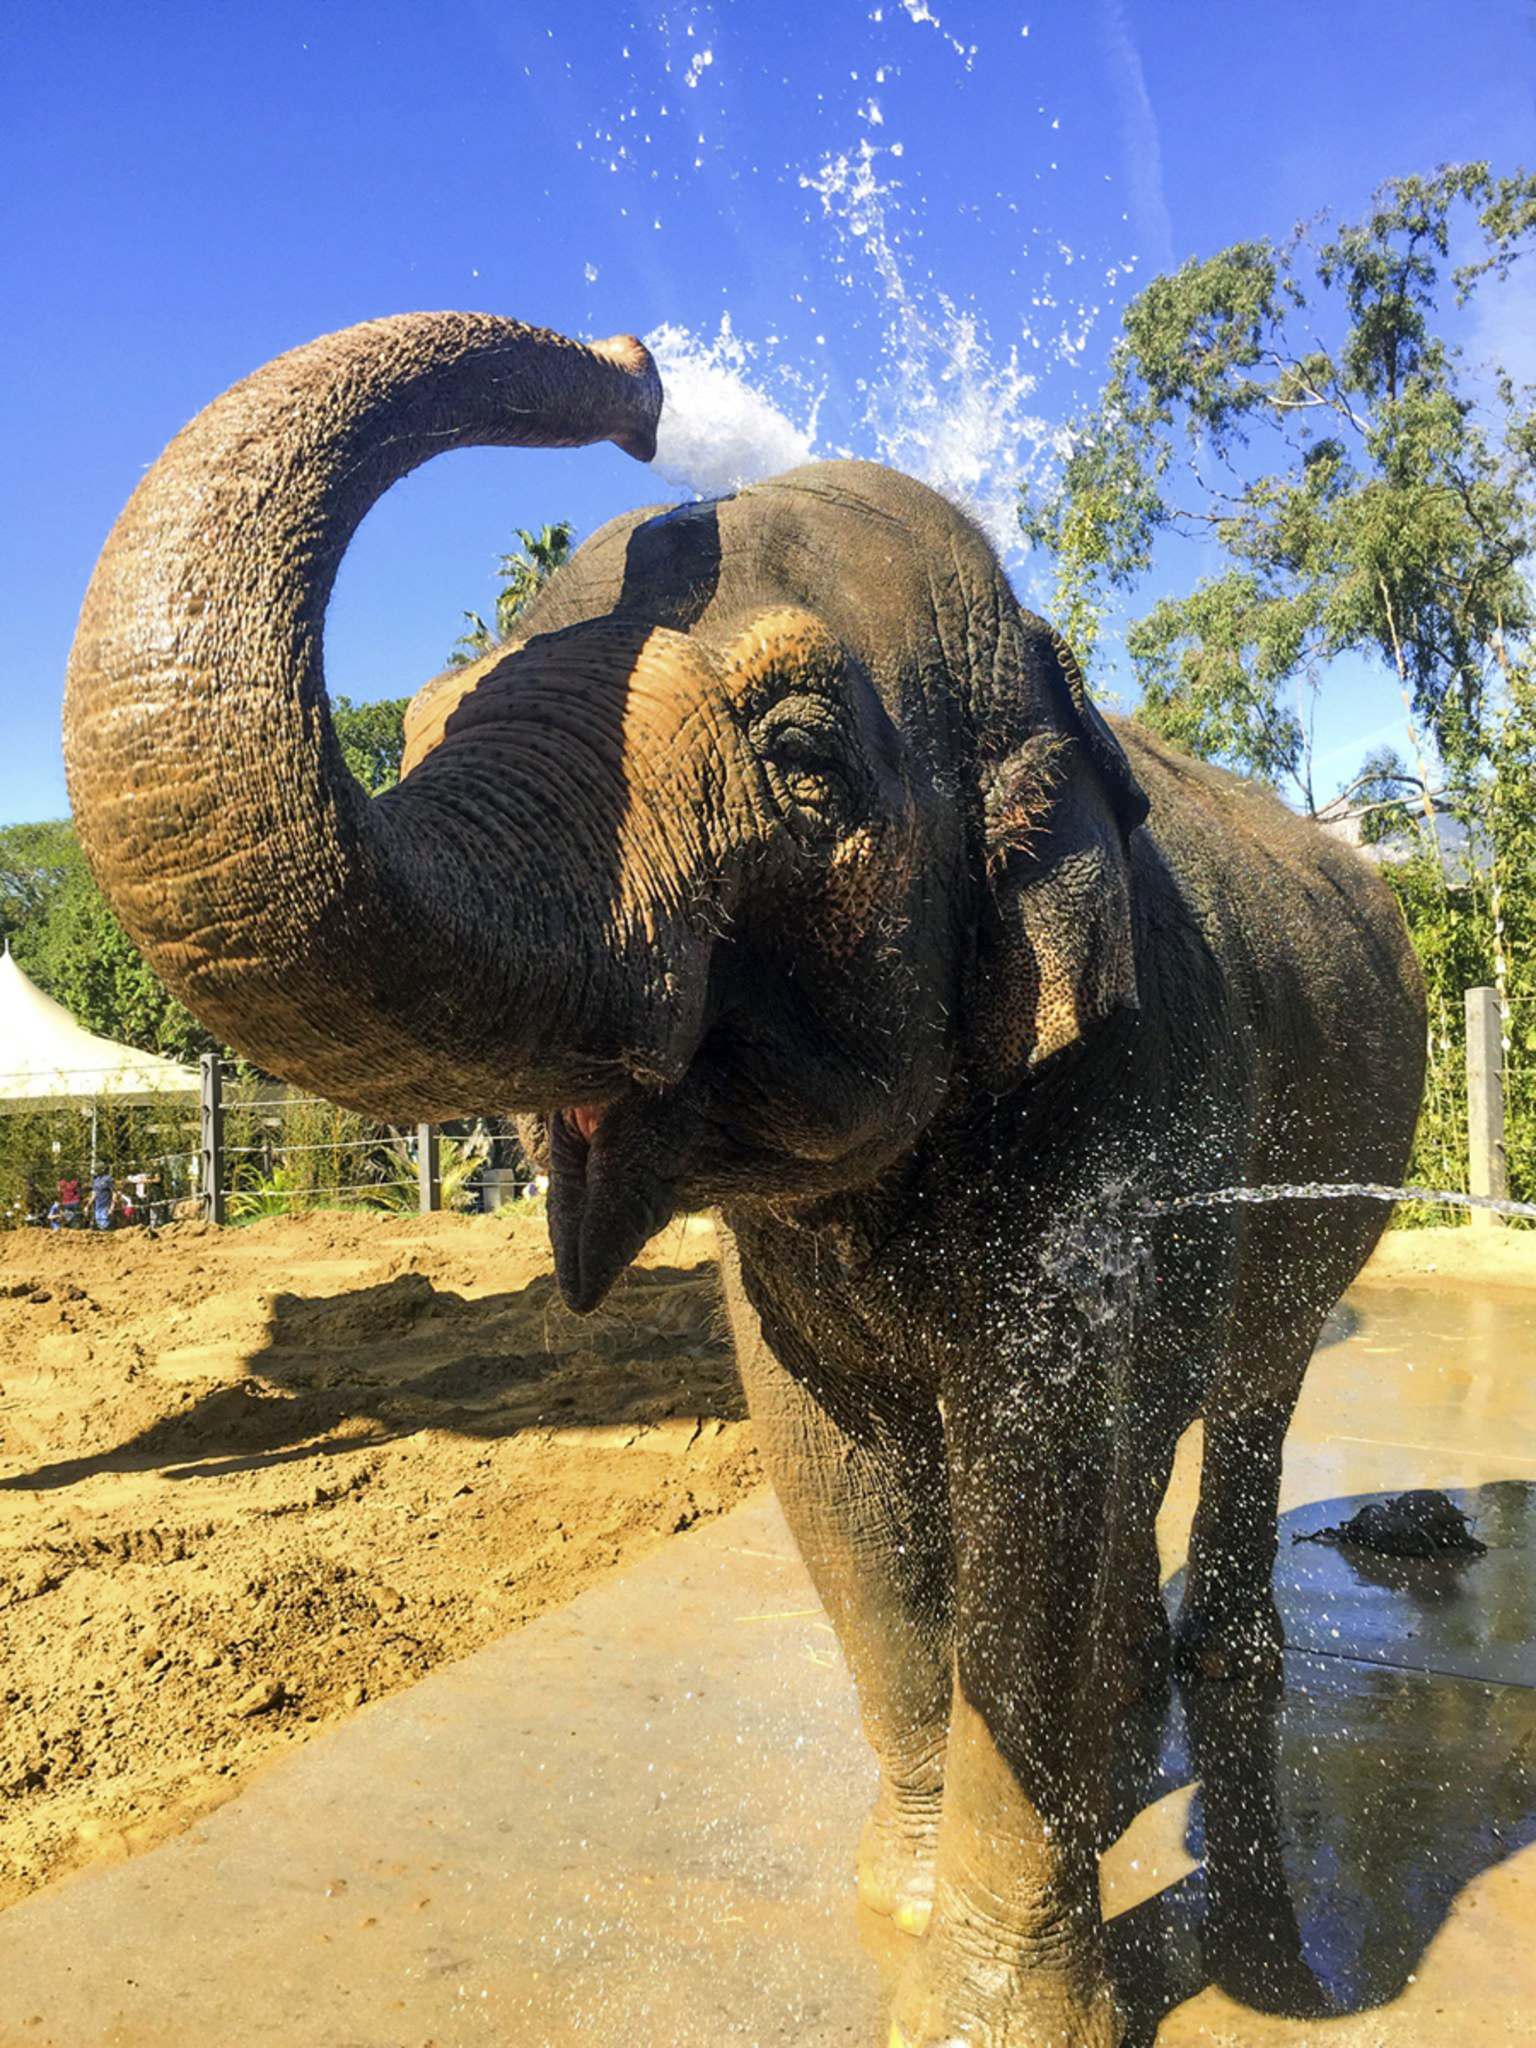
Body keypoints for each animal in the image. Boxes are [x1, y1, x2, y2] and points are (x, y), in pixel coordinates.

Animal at [64, 312, 1425, 2047]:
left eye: (801, 761)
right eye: (422, 728)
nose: (643, 377)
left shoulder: (1125, 1096)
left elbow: (1031, 1482)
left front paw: (991, 2014)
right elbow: (840, 1482)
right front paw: (897, 1904)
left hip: (1341, 1178)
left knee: (1253, 1388)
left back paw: (1222, 1685)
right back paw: (1129, 1749)